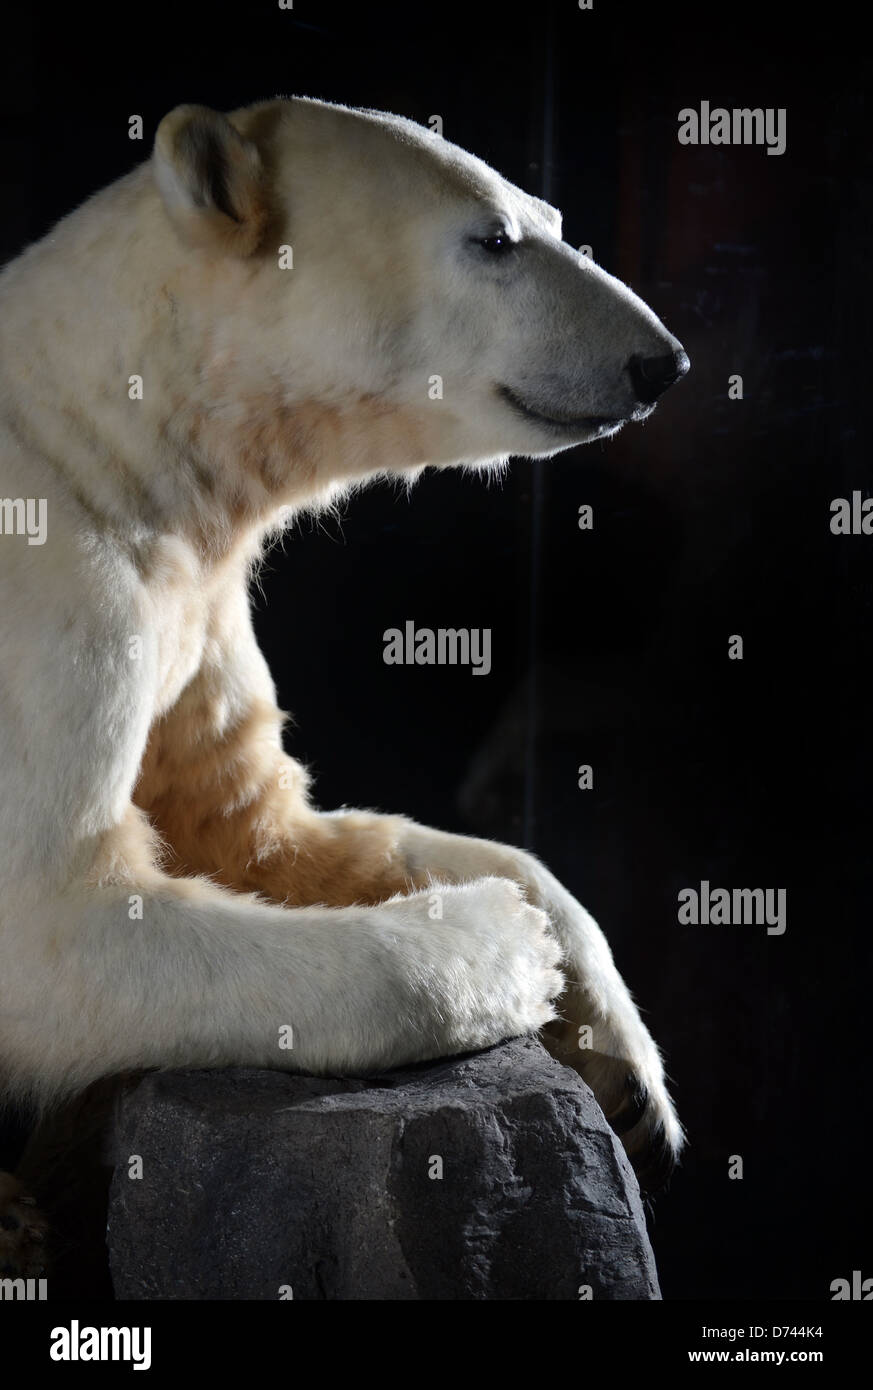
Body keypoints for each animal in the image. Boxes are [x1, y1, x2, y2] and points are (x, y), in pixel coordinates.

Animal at [0, 97, 689, 1277]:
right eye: (494, 238)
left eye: (553, 215)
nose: (660, 361)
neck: (102, 421)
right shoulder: (53, 595)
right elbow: (57, 923)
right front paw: (509, 944)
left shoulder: (197, 598)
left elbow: (268, 825)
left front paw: (624, 1060)